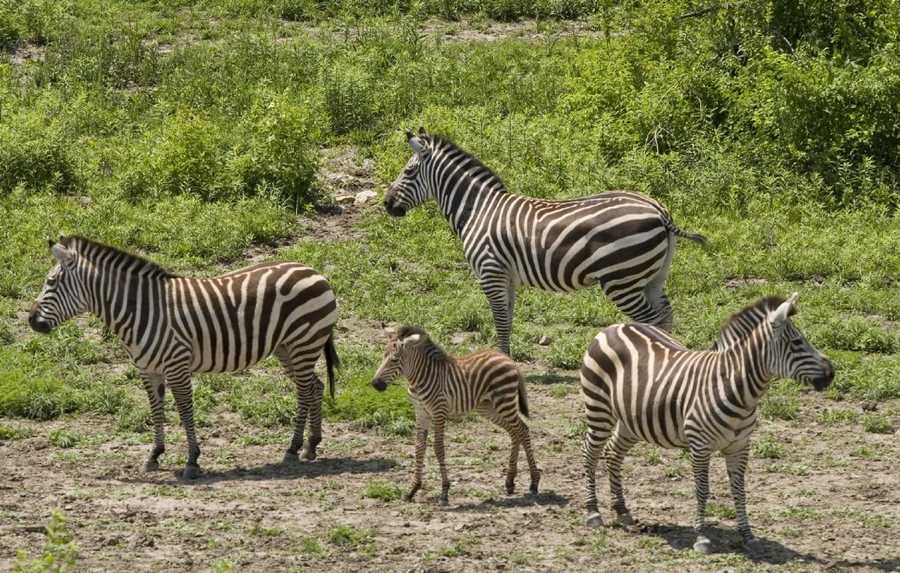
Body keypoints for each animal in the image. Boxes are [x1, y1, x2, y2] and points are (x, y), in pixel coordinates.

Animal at [29, 236, 340, 479]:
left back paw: (292, 448)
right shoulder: (148, 370)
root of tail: (314, 271)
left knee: (304, 390)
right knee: (314, 387)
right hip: (287, 348)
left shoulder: (177, 365)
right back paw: (310, 445)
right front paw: (154, 455)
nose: (31, 321)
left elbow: (185, 411)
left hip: (303, 342)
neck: (140, 310)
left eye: (51, 282)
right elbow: (156, 411)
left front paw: (191, 460)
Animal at [371, 325, 540, 505]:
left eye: (395, 359)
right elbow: (419, 448)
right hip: (488, 408)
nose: (375, 384)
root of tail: (507, 359)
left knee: (522, 429)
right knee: (515, 432)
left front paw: (444, 491)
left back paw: (534, 482)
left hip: (504, 402)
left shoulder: (439, 411)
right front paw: (412, 490)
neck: (418, 379)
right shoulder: (421, 412)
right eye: (383, 356)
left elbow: (438, 448)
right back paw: (510, 482)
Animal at [383, 128, 706, 356]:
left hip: (621, 279)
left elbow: (500, 319)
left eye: (408, 171)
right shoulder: (507, 276)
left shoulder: (490, 271)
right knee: (665, 315)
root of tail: (660, 212)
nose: (386, 204)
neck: (478, 209)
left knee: (650, 318)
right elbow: (508, 318)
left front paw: (503, 360)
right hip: (653, 276)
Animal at [579, 293, 834, 553]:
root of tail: (614, 327)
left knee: (613, 453)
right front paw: (701, 537)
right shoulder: (700, 445)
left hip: (632, 420)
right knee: (590, 452)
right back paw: (593, 512)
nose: (831, 374)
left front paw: (747, 535)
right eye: (796, 343)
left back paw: (622, 511)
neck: (736, 389)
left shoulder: (740, 446)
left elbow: (739, 490)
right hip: (599, 409)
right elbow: (702, 490)